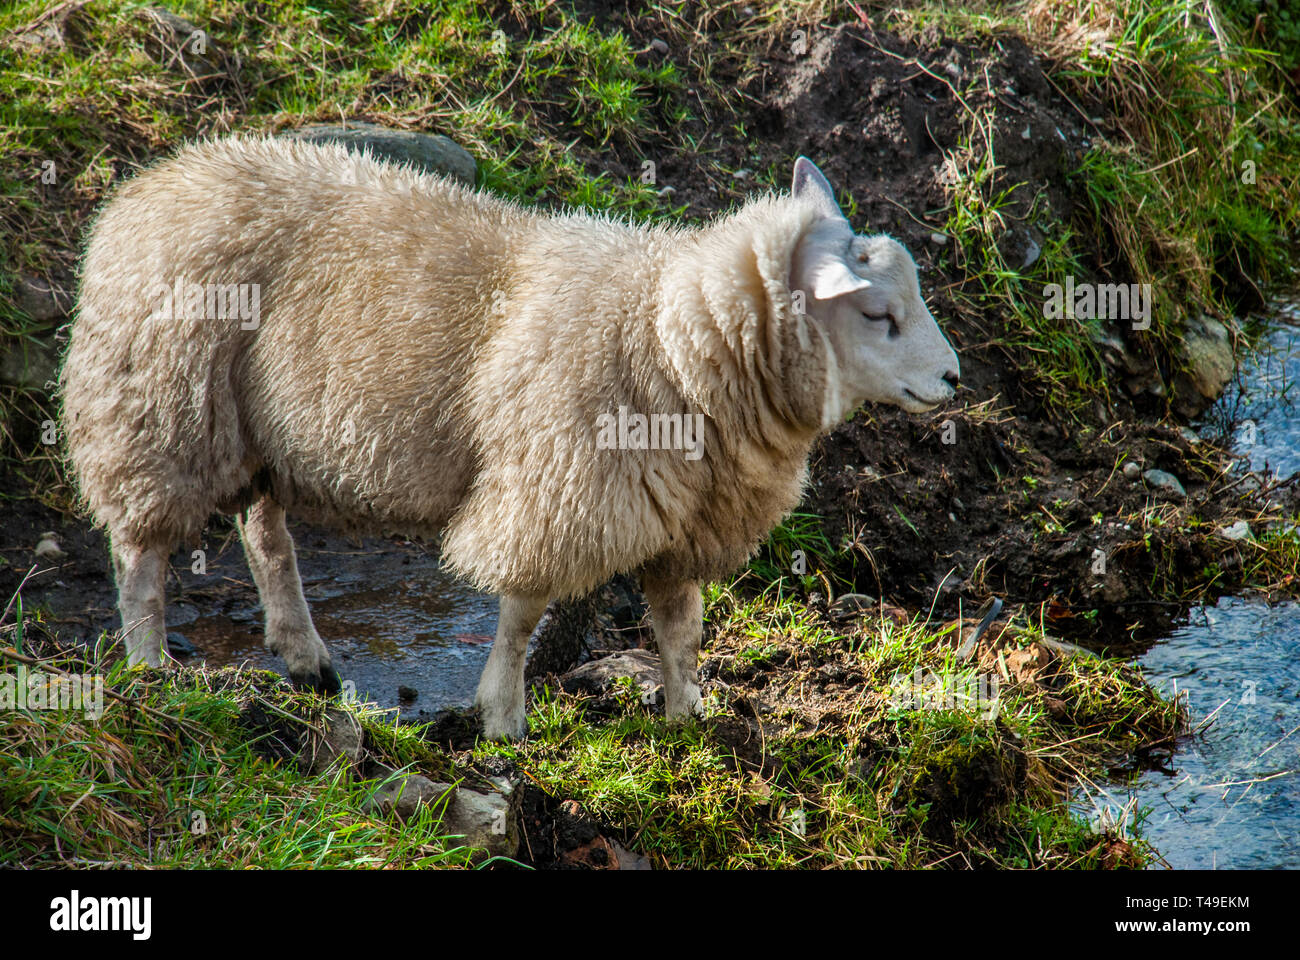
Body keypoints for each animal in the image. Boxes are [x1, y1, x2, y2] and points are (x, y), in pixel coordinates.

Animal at [61, 137, 959, 739]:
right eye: (878, 314)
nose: (954, 379)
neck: (667, 334)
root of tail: (147, 190)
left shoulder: (682, 518)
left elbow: (679, 627)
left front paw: (685, 715)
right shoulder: (556, 488)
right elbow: (524, 612)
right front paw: (502, 716)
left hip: (256, 429)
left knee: (264, 531)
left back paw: (304, 654)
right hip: (159, 412)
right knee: (141, 553)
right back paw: (150, 665)